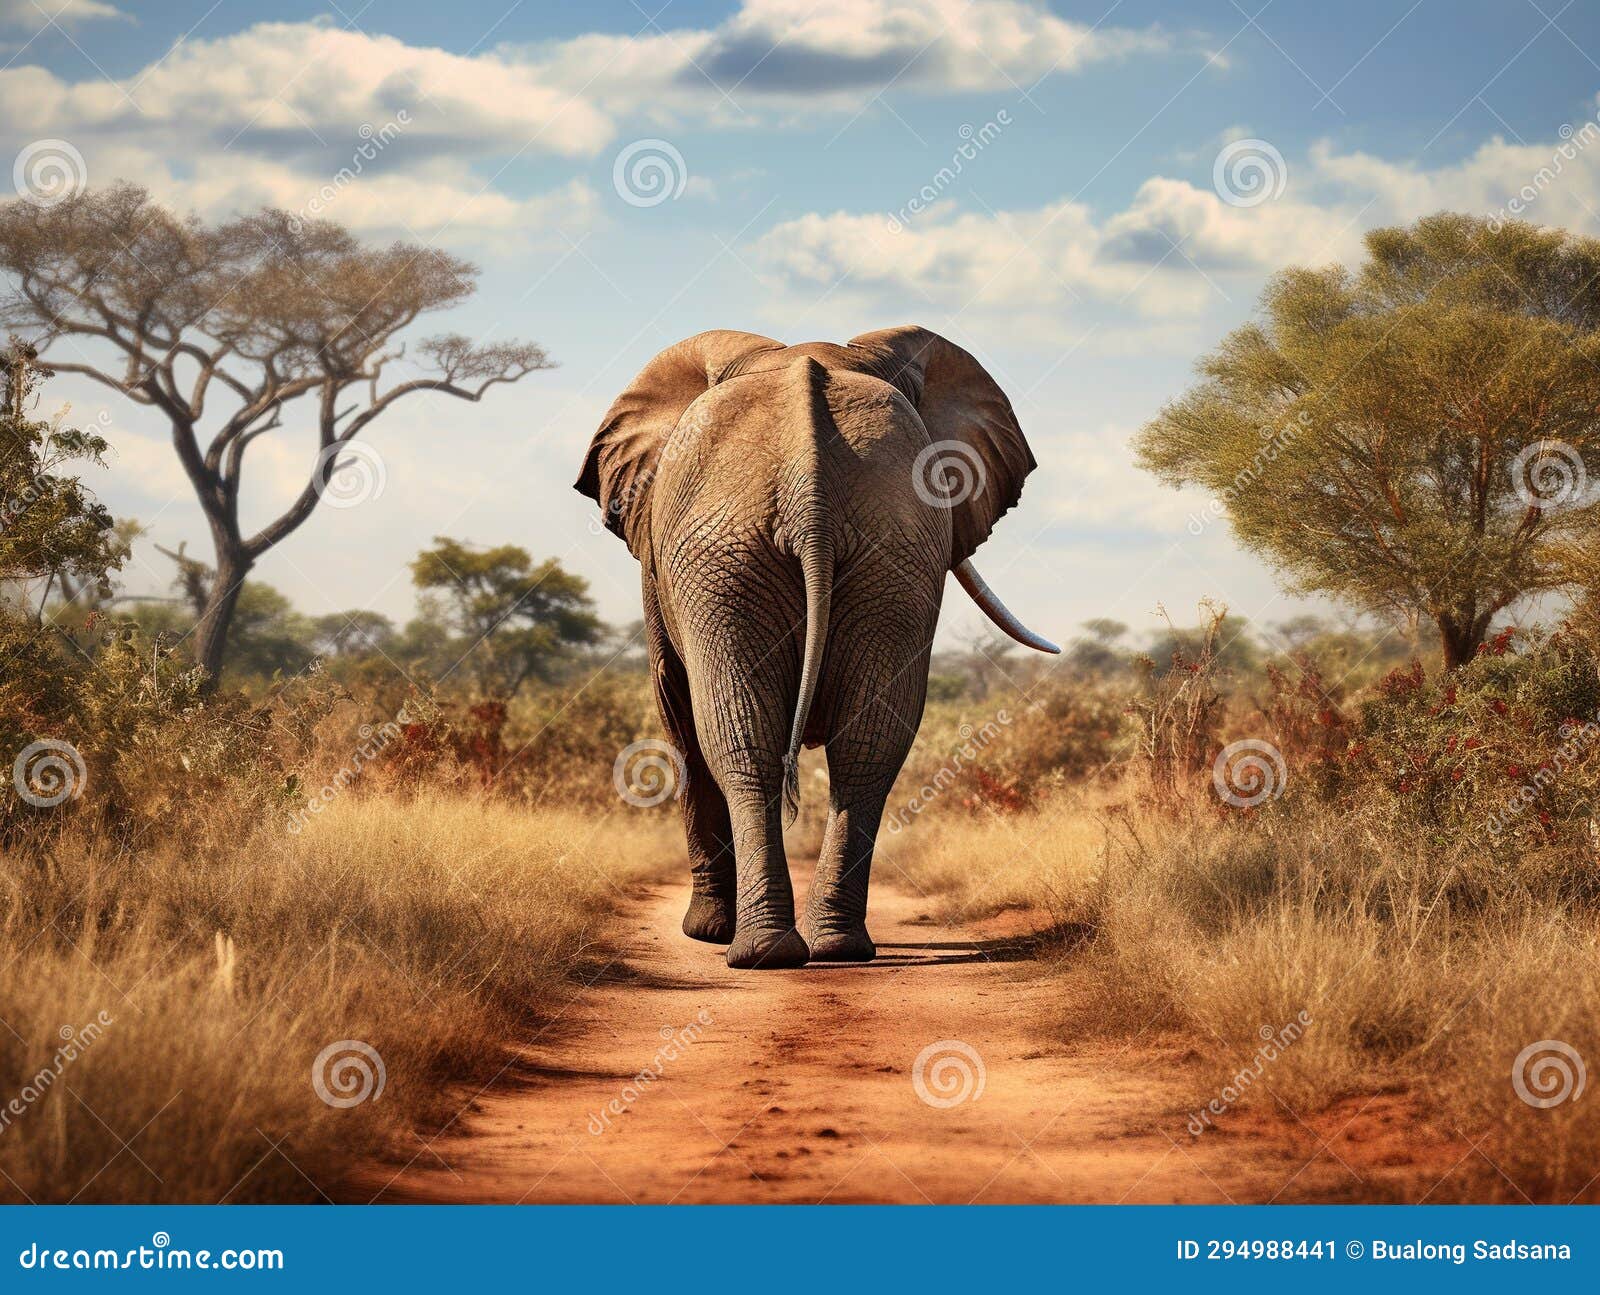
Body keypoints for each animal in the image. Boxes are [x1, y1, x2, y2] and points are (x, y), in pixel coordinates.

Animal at [577, 325, 1058, 970]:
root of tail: (811, 497)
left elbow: (674, 705)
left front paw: (702, 933)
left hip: (737, 561)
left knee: (741, 738)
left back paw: (762, 951)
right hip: (878, 556)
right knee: (863, 743)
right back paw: (829, 948)